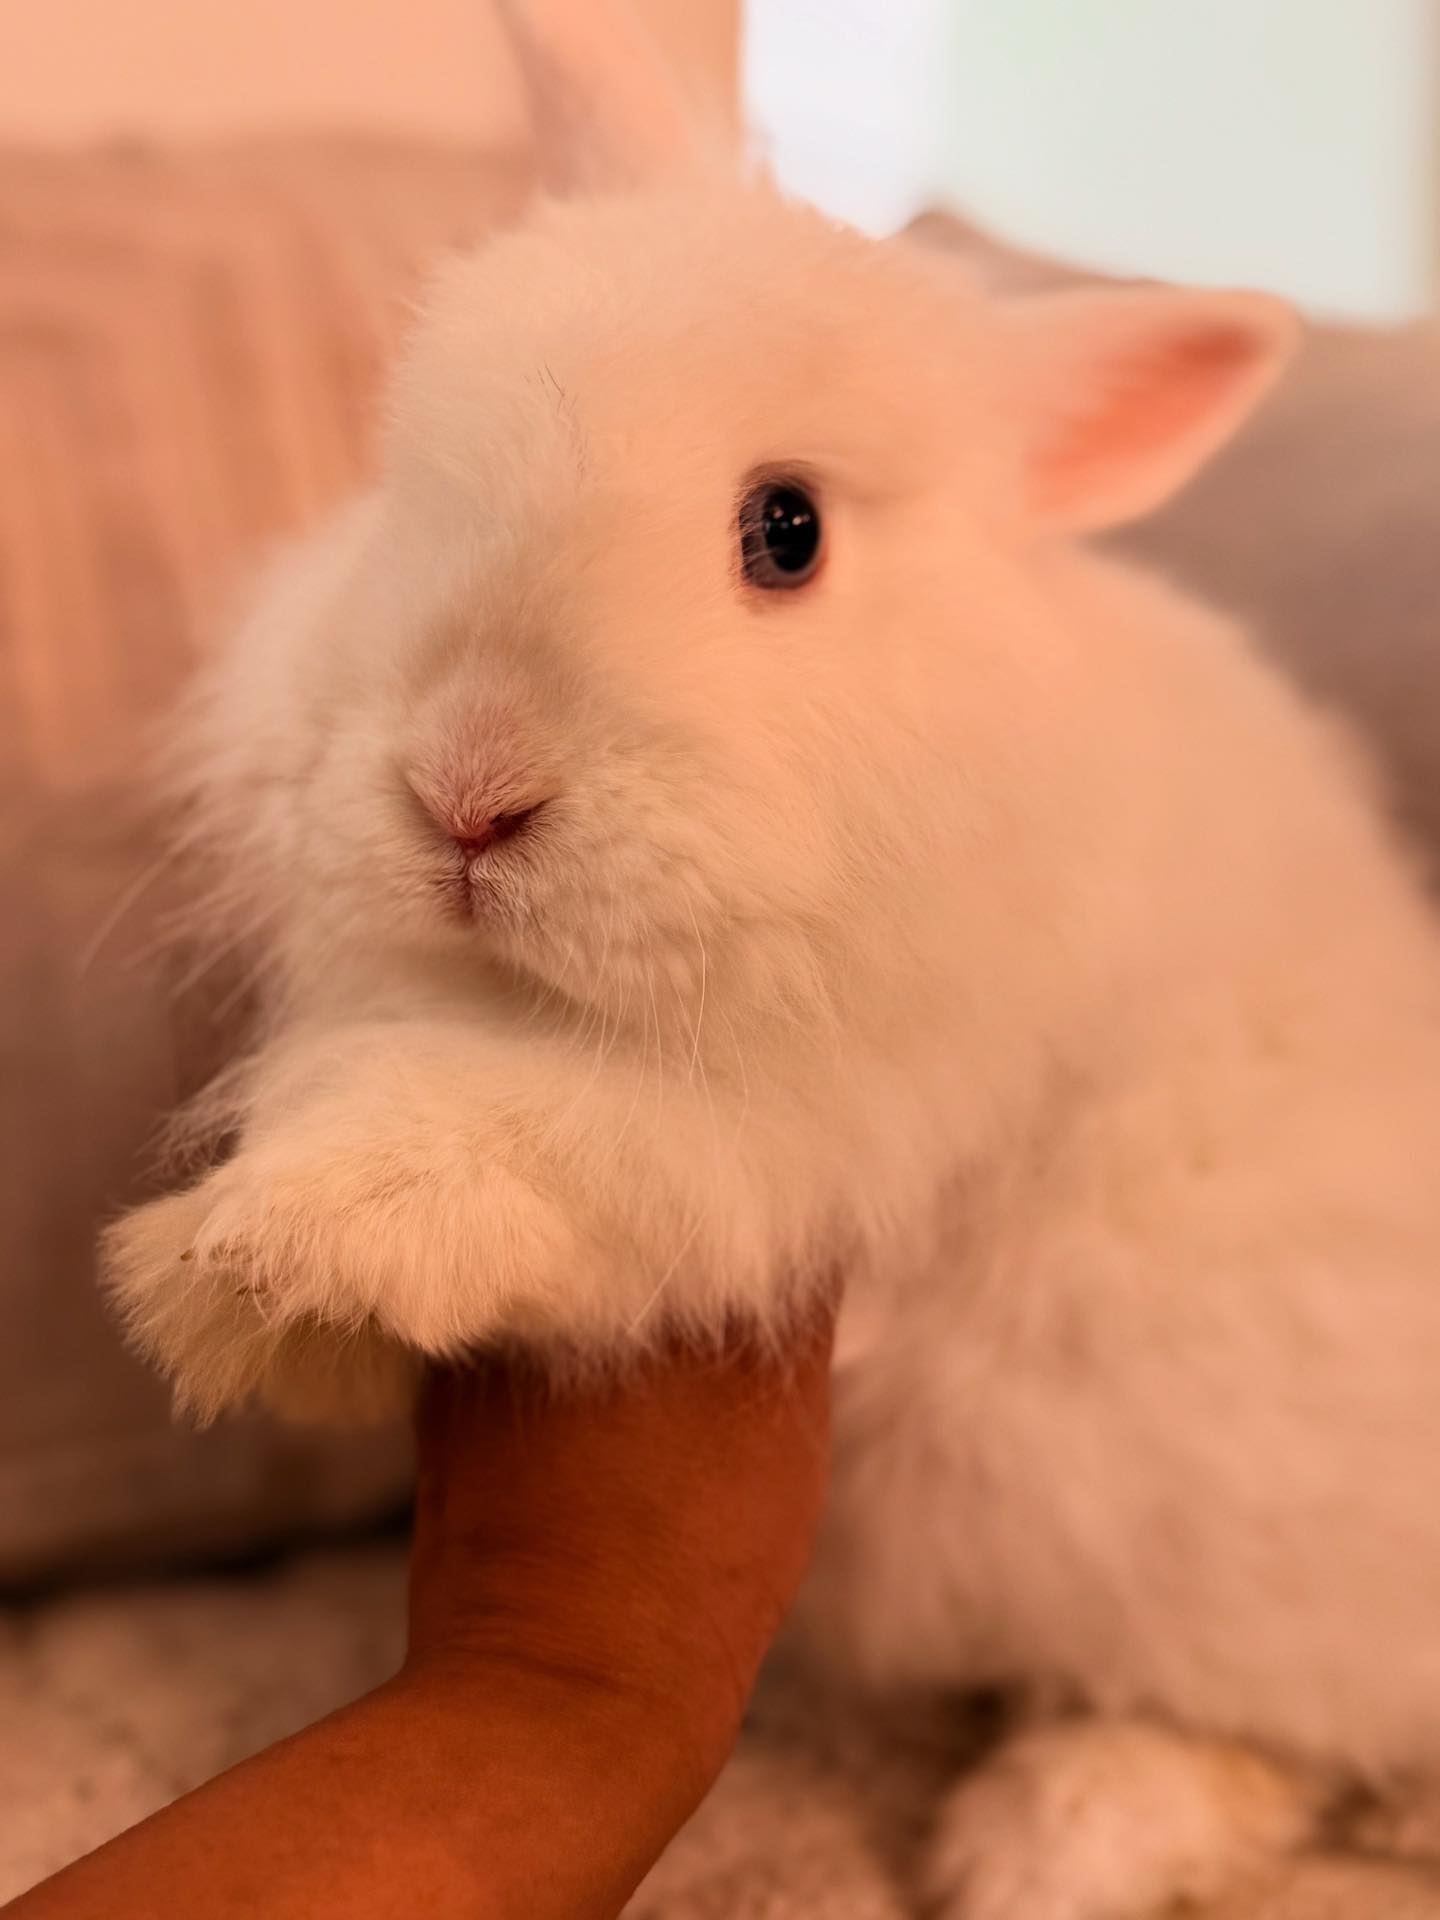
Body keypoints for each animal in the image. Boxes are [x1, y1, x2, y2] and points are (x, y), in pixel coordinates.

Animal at [102, 3, 1440, 1916]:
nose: (465, 794)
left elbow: (528, 1145)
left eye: (785, 531)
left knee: (1256, 1728)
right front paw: (271, 1309)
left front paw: (263, 1262)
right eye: (407, 478)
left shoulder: (794, 1137)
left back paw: (1048, 1845)